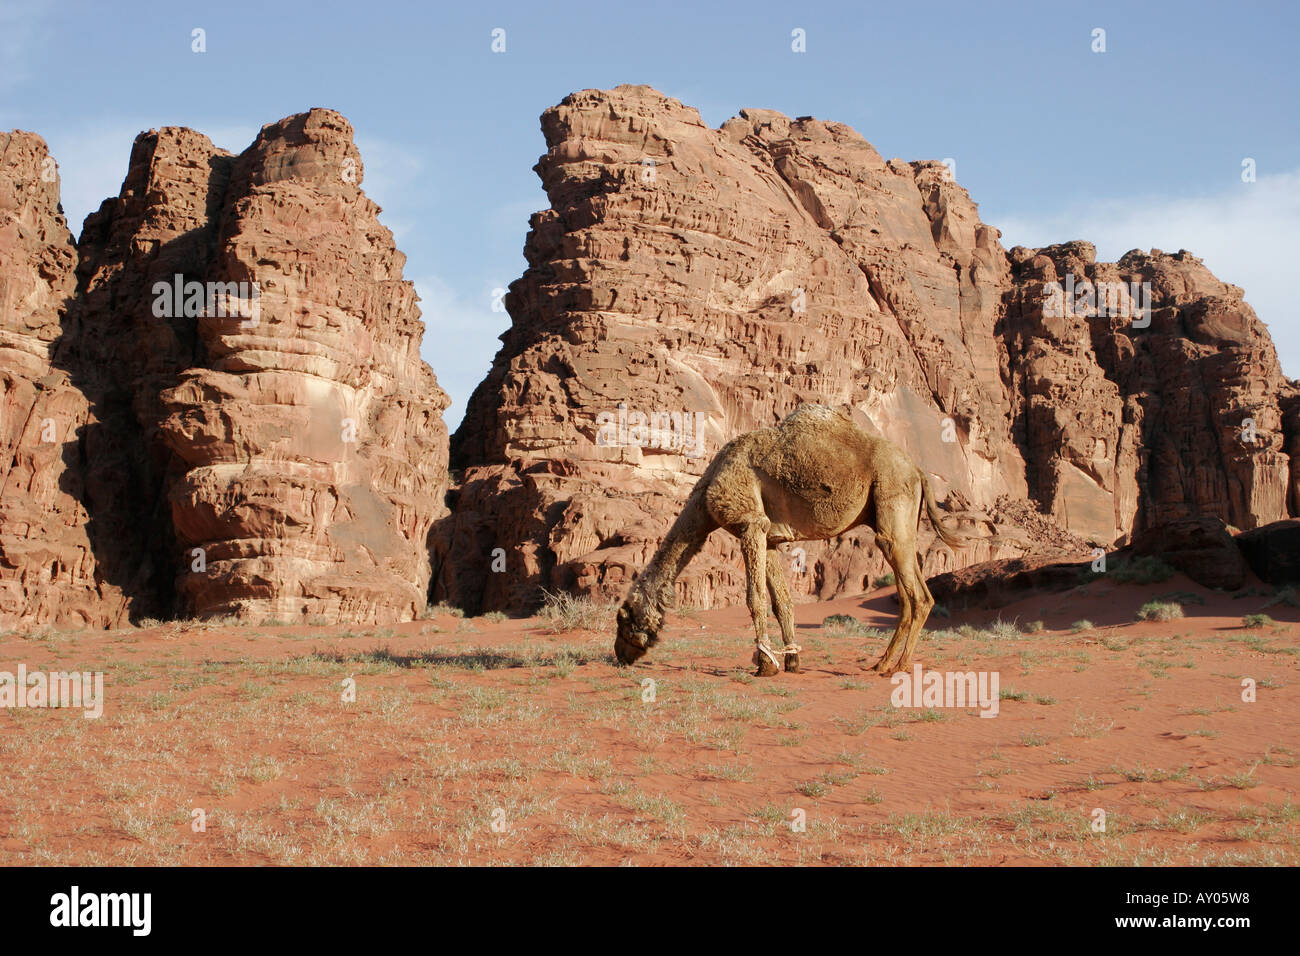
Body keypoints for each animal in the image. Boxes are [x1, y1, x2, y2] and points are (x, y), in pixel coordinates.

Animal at [614, 404, 961, 677]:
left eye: (622, 620)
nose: (619, 655)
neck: (706, 496)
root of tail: (917, 470)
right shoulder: (767, 536)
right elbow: (782, 600)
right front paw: (792, 660)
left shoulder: (749, 523)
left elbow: (755, 598)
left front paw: (765, 664)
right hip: (900, 522)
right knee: (914, 593)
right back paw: (882, 663)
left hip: (891, 502)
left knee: (917, 595)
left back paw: (895, 666)